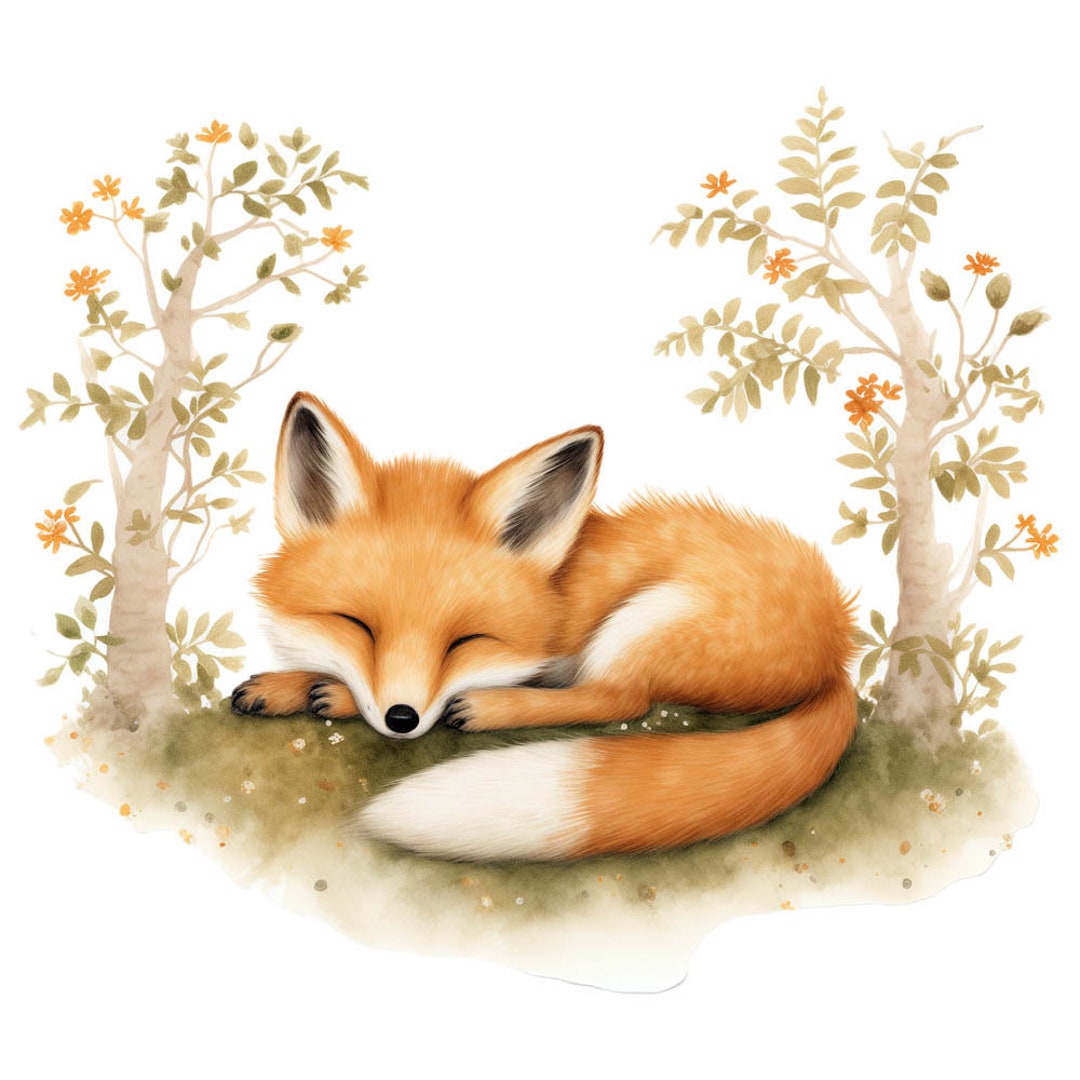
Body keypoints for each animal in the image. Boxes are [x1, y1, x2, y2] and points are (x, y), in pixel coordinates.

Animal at [232, 391, 859, 862]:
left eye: (466, 641)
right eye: (356, 625)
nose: (402, 719)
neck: (561, 585)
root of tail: (836, 653)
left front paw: (334, 695)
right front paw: (288, 687)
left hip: (646, 621)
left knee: (619, 701)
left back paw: (488, 709)